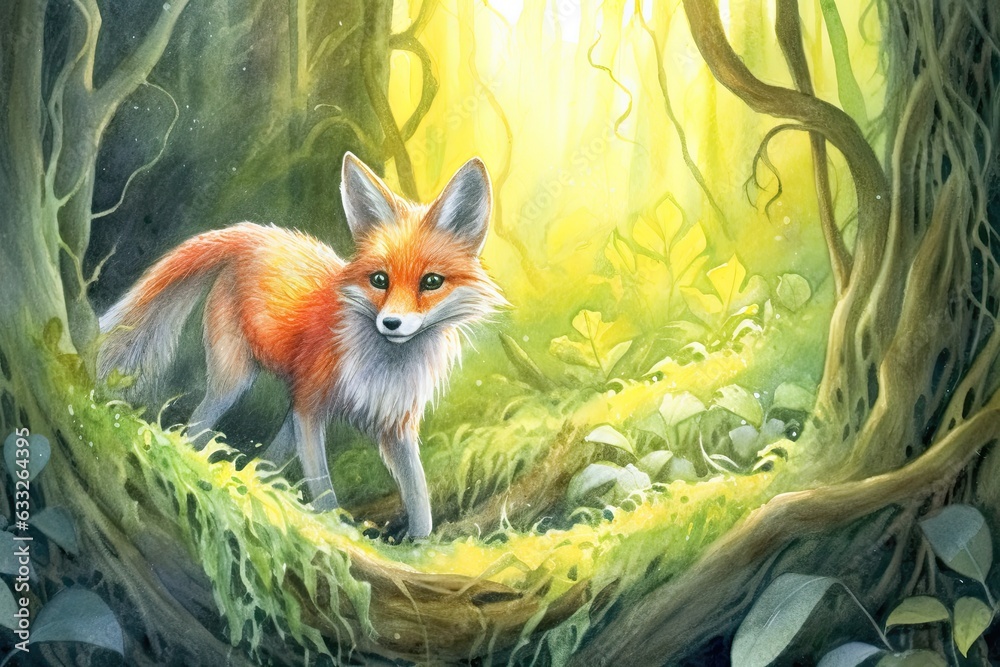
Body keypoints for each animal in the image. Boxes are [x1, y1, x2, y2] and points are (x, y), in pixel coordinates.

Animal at [97, 153, 507, 538]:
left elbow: (418, 494)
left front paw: (419, 543)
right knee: (192, 429)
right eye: (379, 280)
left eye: (431, 282)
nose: (391, 323)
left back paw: (254, 482)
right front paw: (336, 530)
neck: (383, 366)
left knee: (265, 458)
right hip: (235, 381)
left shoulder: (395, 423)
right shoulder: (311, 406)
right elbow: (322, 487)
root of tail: (256, 233)